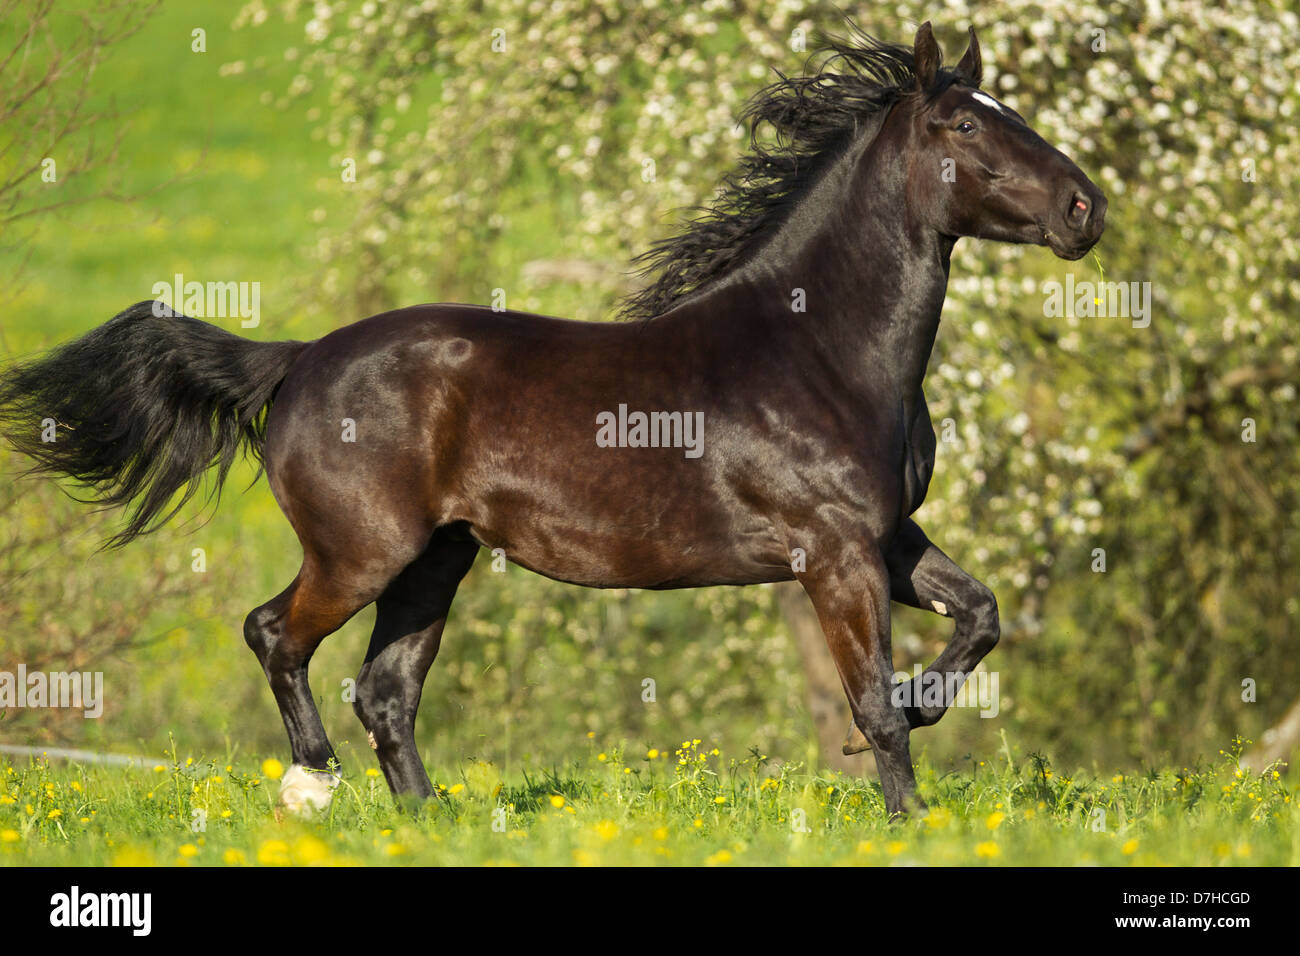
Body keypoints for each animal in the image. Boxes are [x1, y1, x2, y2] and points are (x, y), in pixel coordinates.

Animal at [0, 21, 1105, 817]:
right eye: (965, 127)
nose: (1084, 209)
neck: (818, 349)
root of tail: (298, 359)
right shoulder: (834, 554)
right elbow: (872, 703)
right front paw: (908, 817)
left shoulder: (888, 535)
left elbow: (978, 615)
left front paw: (922, 709)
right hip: (363, 551)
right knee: (277, 634)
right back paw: (312, 782)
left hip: (434, 562)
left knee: (386, 692)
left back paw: (433, 820)